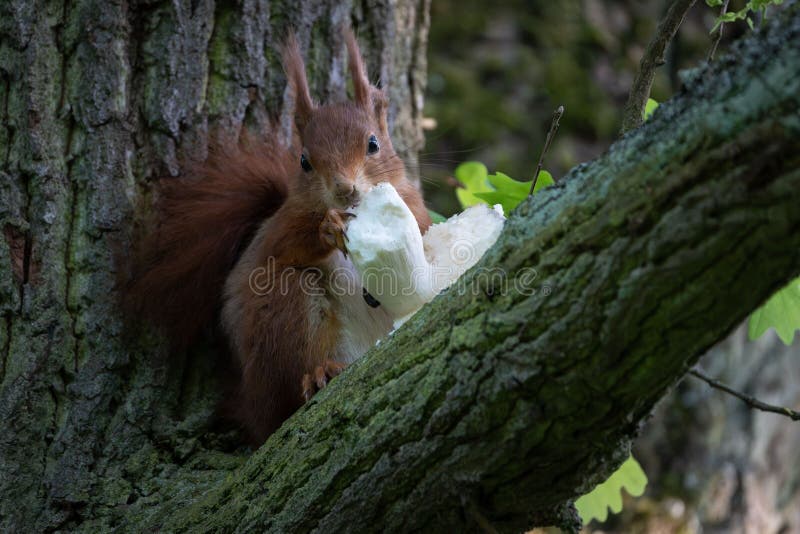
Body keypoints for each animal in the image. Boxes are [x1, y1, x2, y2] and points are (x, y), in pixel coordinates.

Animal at [126, 31, 431, 445]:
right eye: (304, 161)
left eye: (373, 144)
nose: (344, 189)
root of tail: (252, 403)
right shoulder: (279, 227)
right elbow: (285, 246)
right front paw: (327, 228)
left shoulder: (414, 203)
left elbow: (424, 230)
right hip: (287, 309)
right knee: (285, 396)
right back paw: (319, 376)